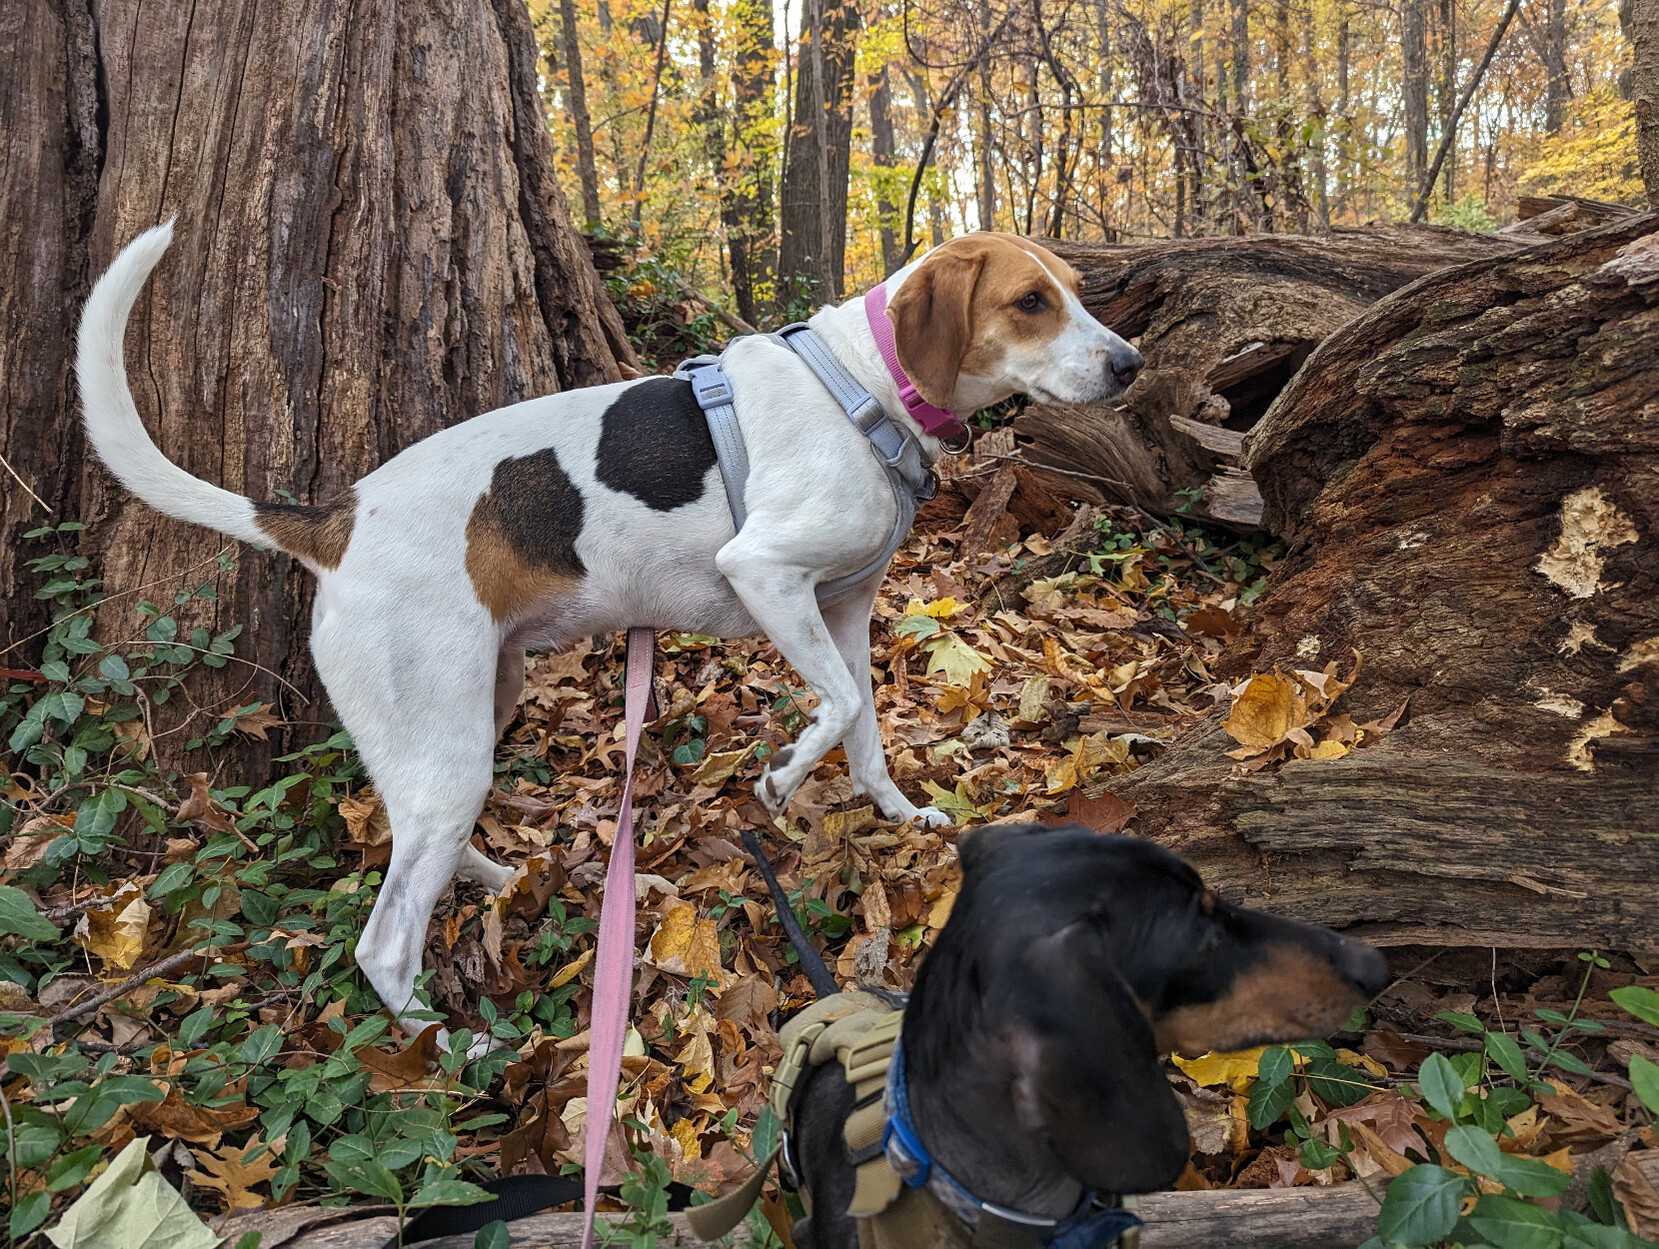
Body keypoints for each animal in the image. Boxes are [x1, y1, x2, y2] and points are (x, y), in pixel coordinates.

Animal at [74, 222, 1141, 1041]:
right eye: (1030, 302)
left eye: (1075, 291)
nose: (1129, 363)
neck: (861, 386)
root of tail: (333, 519)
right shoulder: (765, 572)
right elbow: (835, 709)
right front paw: (780, 780)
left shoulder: (843, 607)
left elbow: (867, 728)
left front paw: (899, 811)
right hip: (447, 737)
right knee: (383, 942)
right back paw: (447, 1047)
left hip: (472, 710)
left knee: (415, 842)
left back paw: (496, 876)